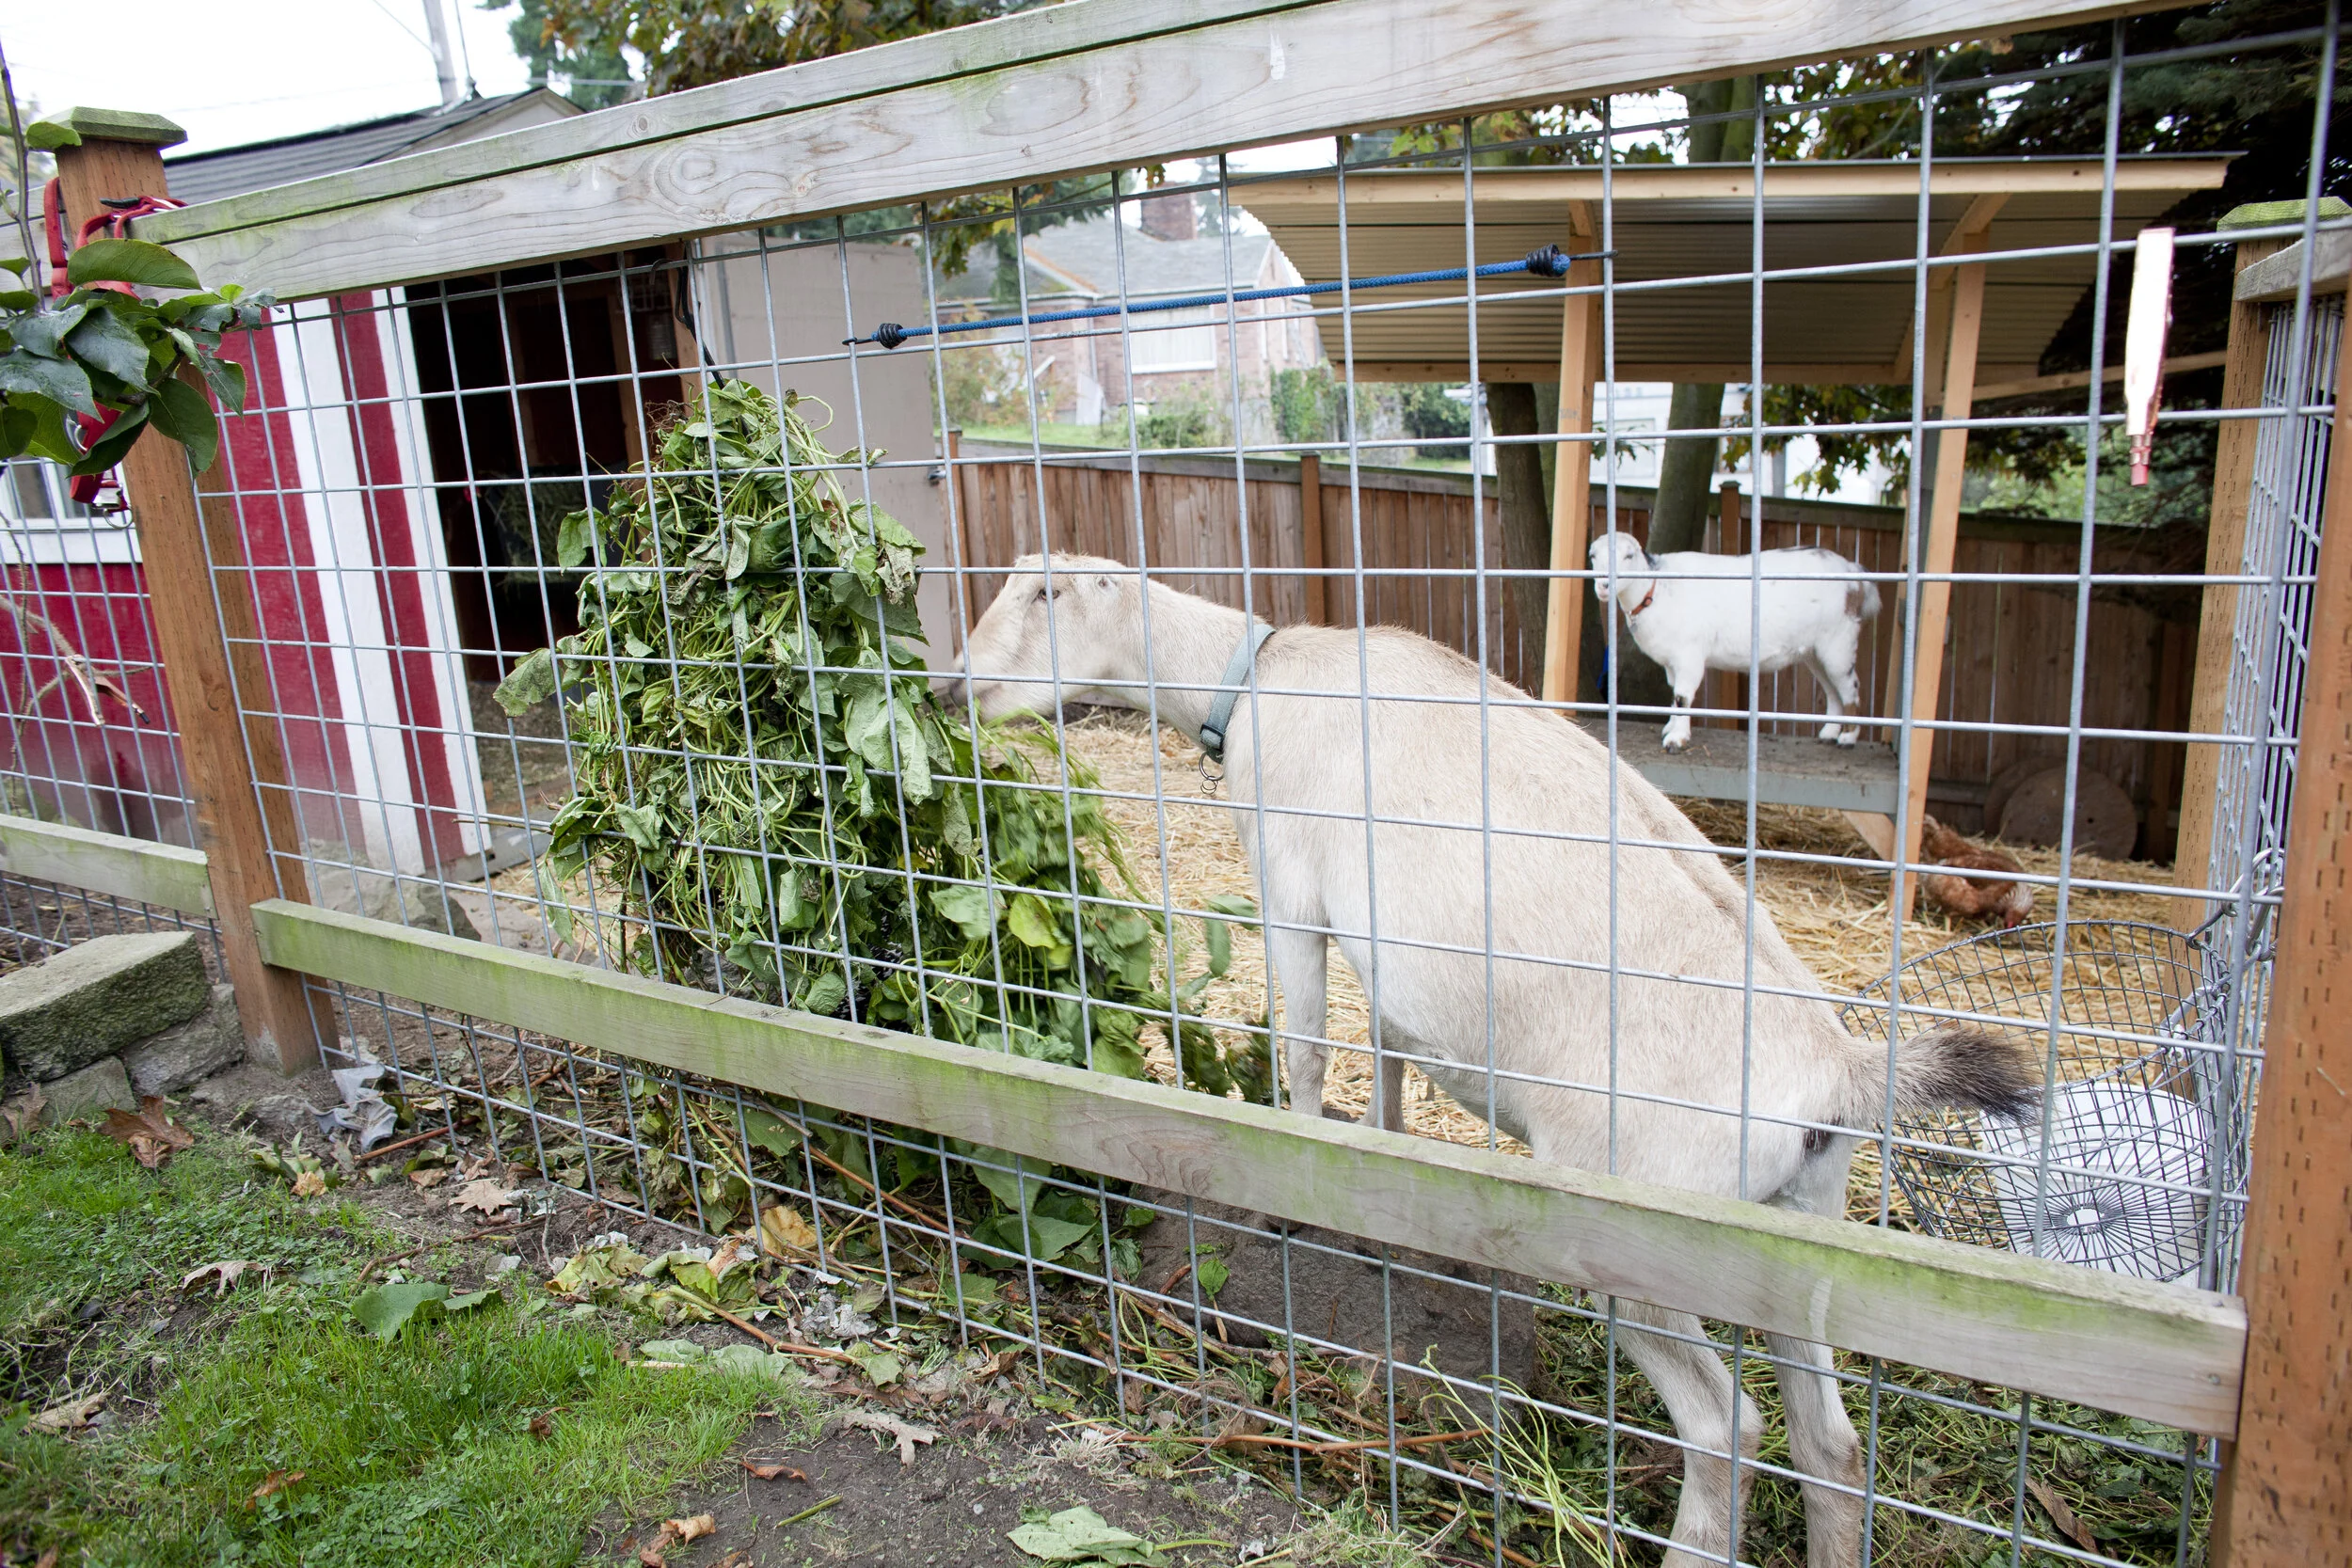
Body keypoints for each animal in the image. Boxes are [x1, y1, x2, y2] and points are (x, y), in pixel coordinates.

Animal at [949, 554, 2034, 1568]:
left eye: (1043, 593)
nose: (954, 685)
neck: (1254, 677)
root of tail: (1839, 1068)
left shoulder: (1292, 886)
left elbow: (1307, 1050)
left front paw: (1286, 1199)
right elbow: (1384, 1060)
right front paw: (1379, 1188)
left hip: (1640, 1236)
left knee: (1728, 1426)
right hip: (1799, 1231)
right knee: (1830, 1442)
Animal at [1588, 531, 1882, 753]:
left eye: (1629, 556)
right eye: (1593, 556)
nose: (1604, 585)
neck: (1657, 588)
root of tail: (1853, 574)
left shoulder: (1689, 655)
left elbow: (1683, 696)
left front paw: (1676, 740)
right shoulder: (1672, 662)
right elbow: (1674, 695)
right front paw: (1670, 728)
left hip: (1839, 641)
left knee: (1851, 686)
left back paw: (1848, 738)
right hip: (1815, 651)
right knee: (1832, 689)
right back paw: (1830, 733)